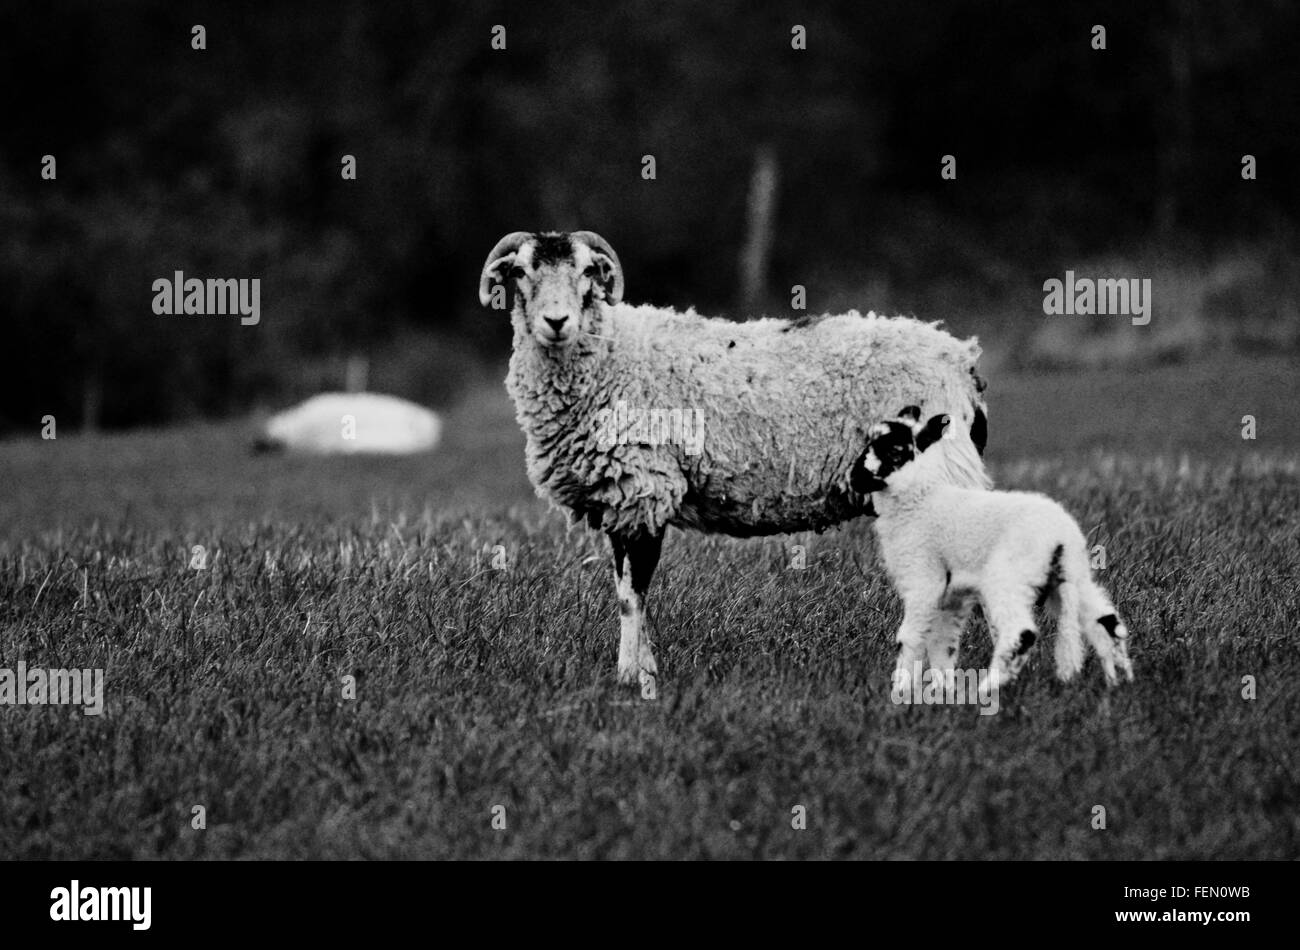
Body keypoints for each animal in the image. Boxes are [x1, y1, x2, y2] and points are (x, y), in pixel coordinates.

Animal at [479, 229, 991, 699]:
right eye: (520, 271)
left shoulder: (644, 490)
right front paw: (646, 669)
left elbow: (631, 596)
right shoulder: (620, 502)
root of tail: (963, 363)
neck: (610, 356)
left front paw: (630, 679)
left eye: (587, 270)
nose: (556, 321)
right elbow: (628, 590)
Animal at [851, 406, 1134, 694]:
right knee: (1106, 621)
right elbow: (943, 642)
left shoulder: (924, 578)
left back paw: (989, 687)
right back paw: (1119, 681)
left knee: (1021, 632)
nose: (855, 479)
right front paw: (944, 691)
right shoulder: (953, 593)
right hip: (1075, 578)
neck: (920, 497)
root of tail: (1060, 536)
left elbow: (910, 637)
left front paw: (900, 691)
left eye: (895, 450)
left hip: (1009, 577)